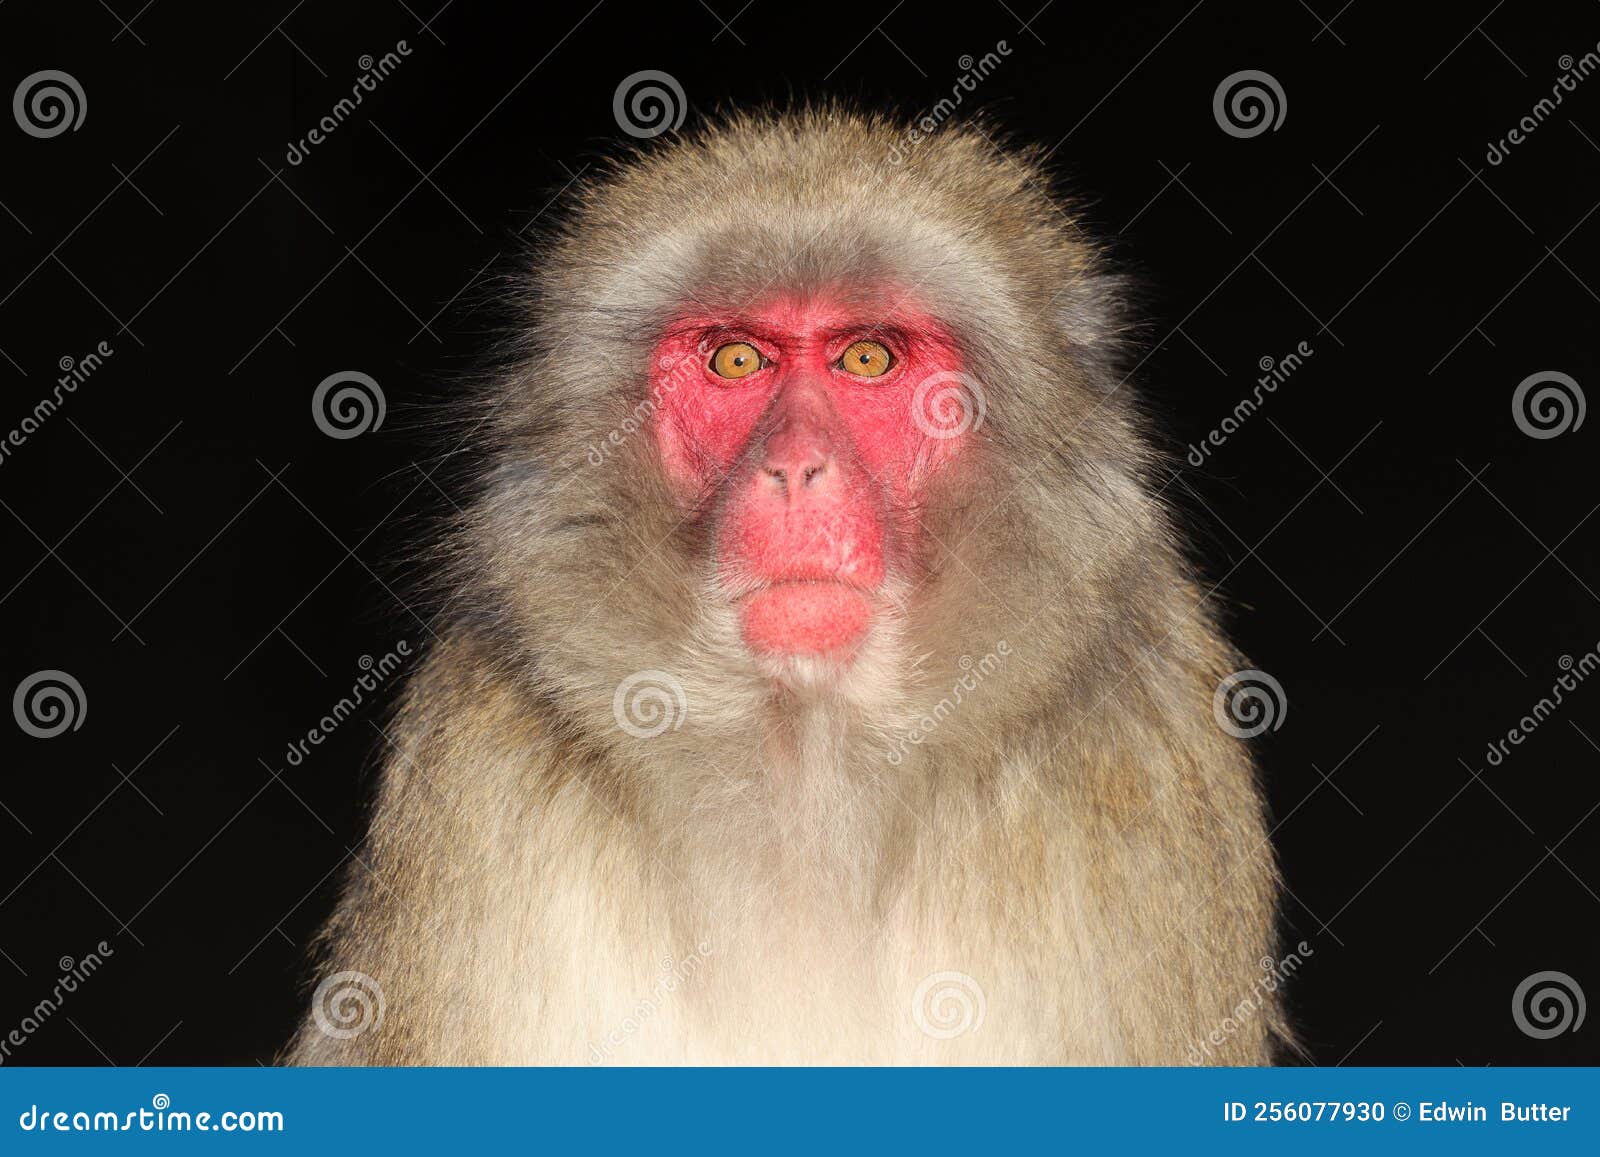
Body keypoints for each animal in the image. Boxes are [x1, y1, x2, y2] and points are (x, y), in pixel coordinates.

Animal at [284, 107, 1289, 1066]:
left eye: (868, 358)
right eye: (736, 359)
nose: (798, 468)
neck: (807, 757)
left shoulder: (1145, 768)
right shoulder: (482, 784)